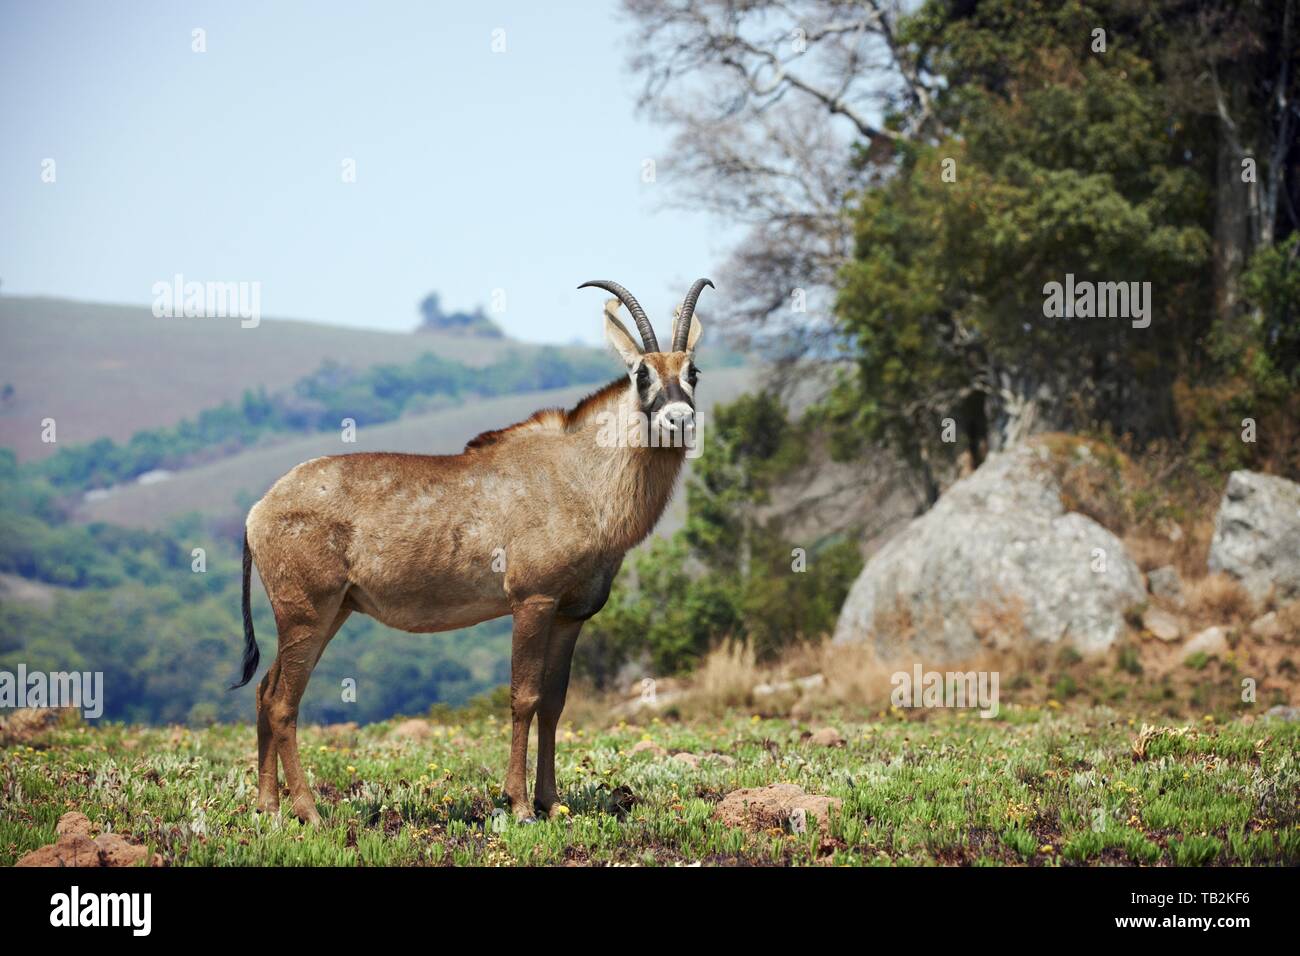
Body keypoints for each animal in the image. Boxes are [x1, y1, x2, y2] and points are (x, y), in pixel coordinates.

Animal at [232, 278, 712, 823]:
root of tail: (259, 510)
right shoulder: (532, 601)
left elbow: (554, 701)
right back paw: (308, 812)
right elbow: (524, 697)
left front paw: (551, 801)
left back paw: (269, 808)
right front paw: (520, 804)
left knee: (266, 690)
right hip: (308, 613)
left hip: (330, 613)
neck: (581, 475)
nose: (678, 419)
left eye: (692, 371)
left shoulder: (570, 614)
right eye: (640, 374)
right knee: (282, 701)